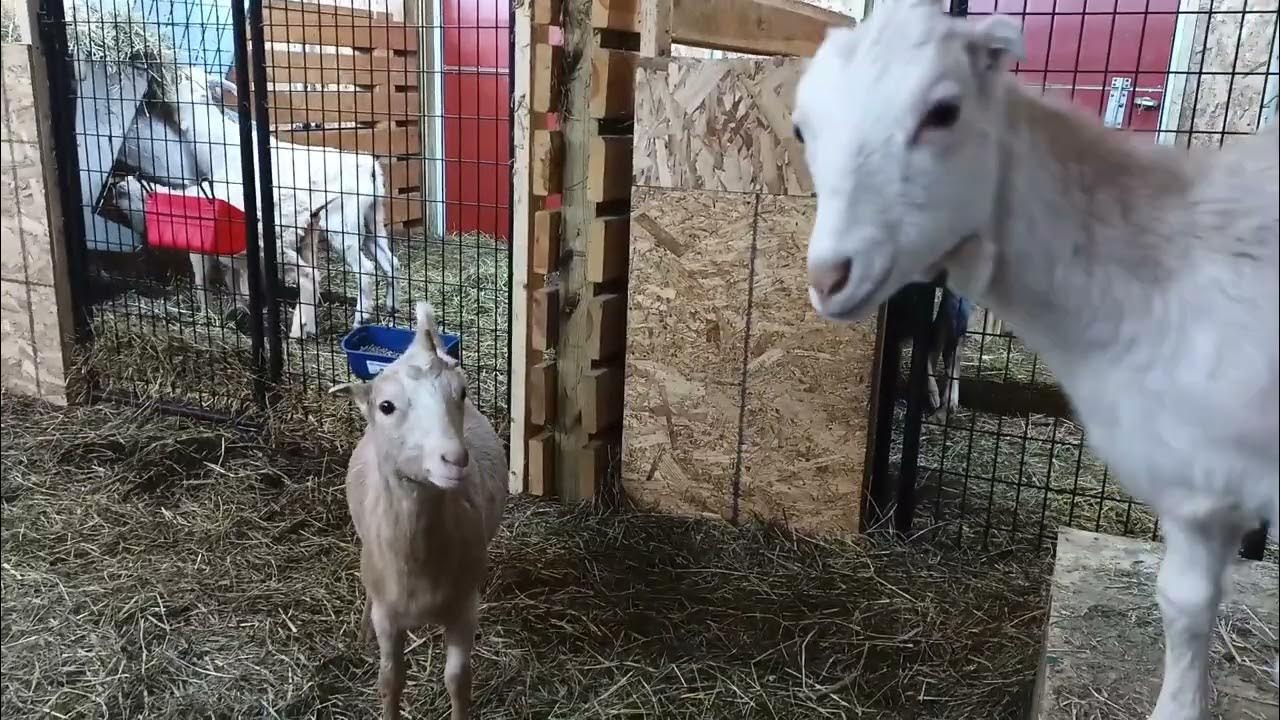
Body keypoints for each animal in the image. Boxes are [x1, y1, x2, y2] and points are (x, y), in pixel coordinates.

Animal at [329, 301, 507, 720]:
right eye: (386, 406)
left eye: (462, 391)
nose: (455, 459)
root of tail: (419, 344)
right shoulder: (389, 616)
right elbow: (390, 681)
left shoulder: (463, 608)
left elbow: (458, 680)